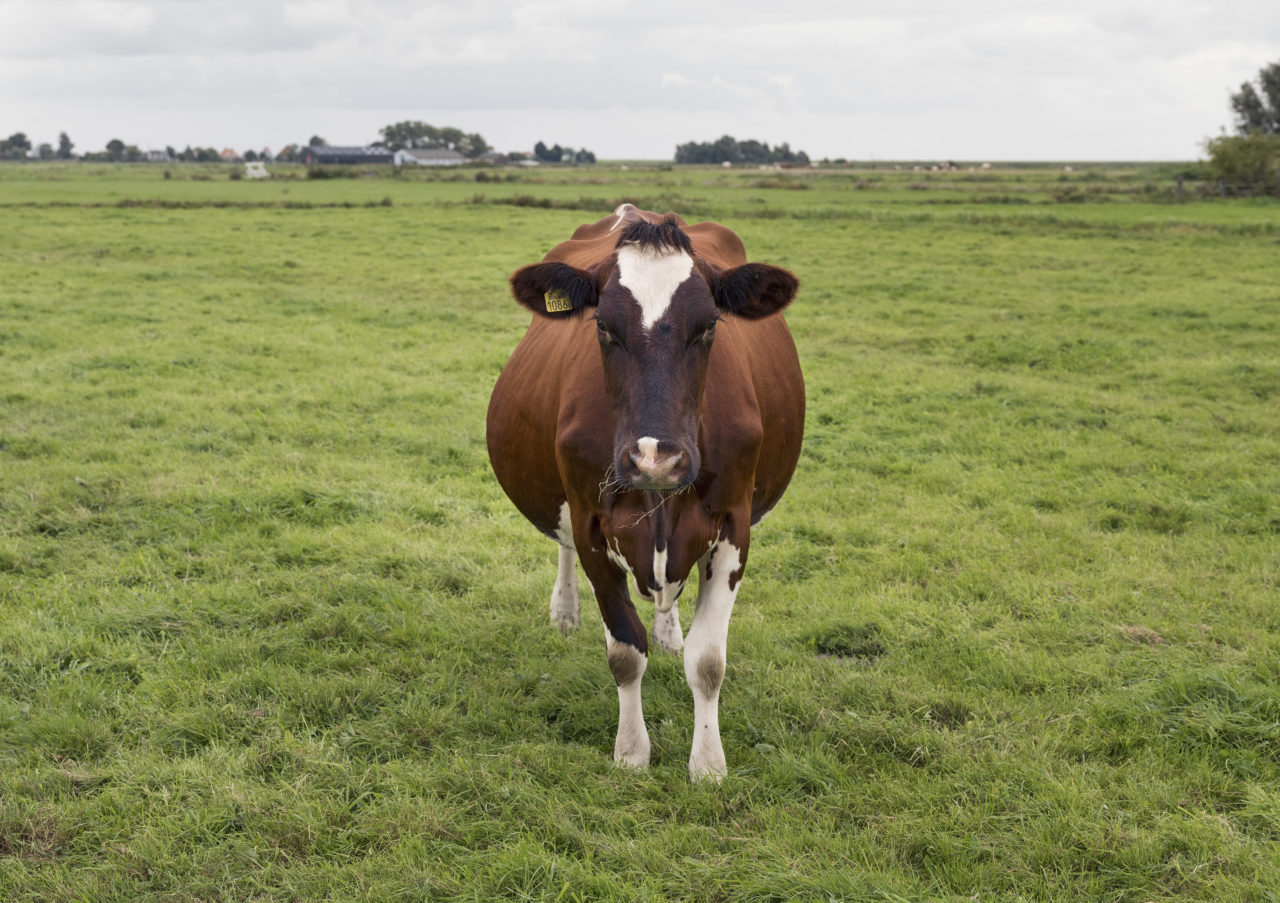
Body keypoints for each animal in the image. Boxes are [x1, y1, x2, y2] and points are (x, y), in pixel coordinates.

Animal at [486, 204, 804, 779]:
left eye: (709, 326)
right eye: (603, 327)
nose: (656, 458)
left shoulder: (734, 525)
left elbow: (707, 660)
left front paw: (708, 764)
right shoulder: (591, 524)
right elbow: (624, 653)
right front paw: (632, 751)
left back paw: (669, 627)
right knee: (562, 544)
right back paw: (565, 611)